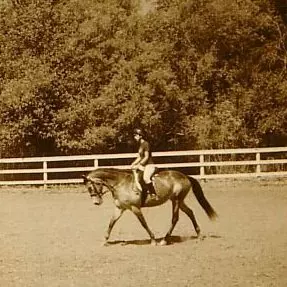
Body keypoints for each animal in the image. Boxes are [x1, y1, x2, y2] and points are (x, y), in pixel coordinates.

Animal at [83, 168, 218, 246]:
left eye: (91, 187)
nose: (96, 202)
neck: (120, 183)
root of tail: (185, 176)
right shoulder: (120, 208)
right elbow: (111, 223)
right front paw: (104, 240)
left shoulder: (135, 208)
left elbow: (143, 223)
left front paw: (153, 240)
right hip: (179, 201)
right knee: (190, 212)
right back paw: (199, 235)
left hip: (176, 200)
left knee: (175, 218)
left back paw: (164, 240)